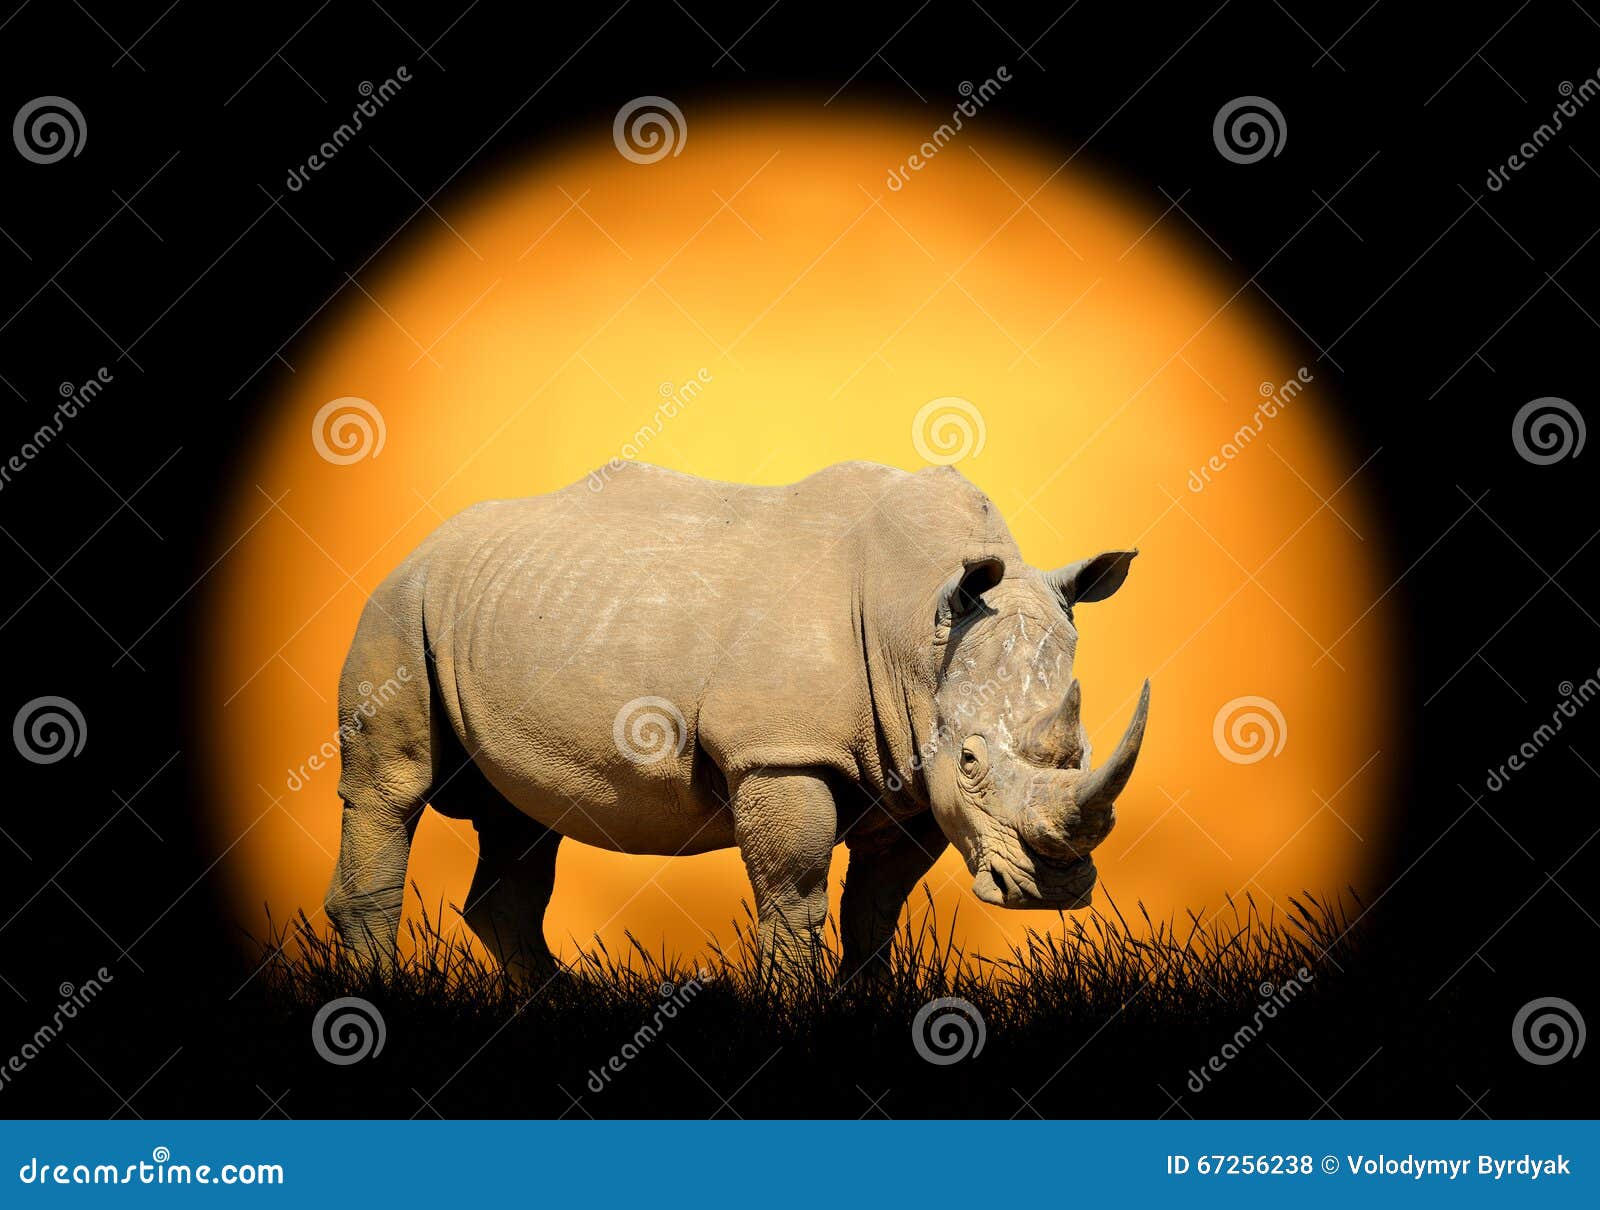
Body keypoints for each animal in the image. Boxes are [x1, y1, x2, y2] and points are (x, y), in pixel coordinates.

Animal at [325, 460, 1149, 979]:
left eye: (1082, 751)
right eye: (972, 762)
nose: (1053, 887)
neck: (919, 624)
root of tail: (425, 543)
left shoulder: (911, 771)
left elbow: (877, 908)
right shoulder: (779, 750)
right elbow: (795, 898)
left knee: (520, 817)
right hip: (400, 604)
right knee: (391, 790)